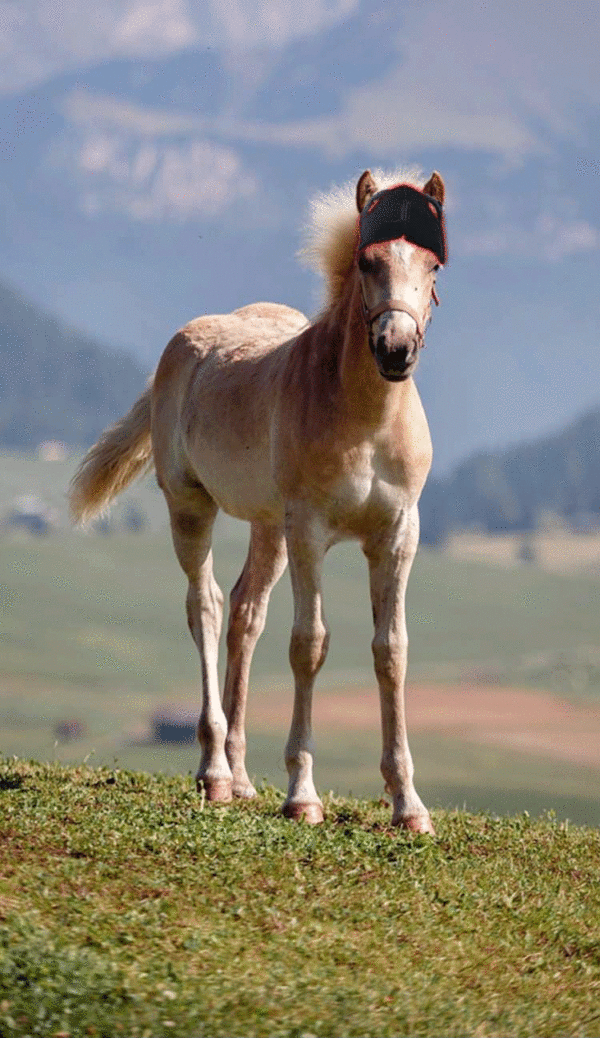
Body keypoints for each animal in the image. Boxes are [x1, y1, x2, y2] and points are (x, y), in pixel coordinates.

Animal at [70, 166, 447, 834]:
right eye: (368, 260)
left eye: (432, 264)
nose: (395, 349)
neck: (366, 420)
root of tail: (180, 347)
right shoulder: (311, 531)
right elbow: (309, 645)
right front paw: (302, 795)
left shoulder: (399, 533)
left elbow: (392, 651)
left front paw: (409, 805)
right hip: (193, 507)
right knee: (207, 607)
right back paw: (215, 774)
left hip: (268, 527)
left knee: (246, 614)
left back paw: (243, 777)